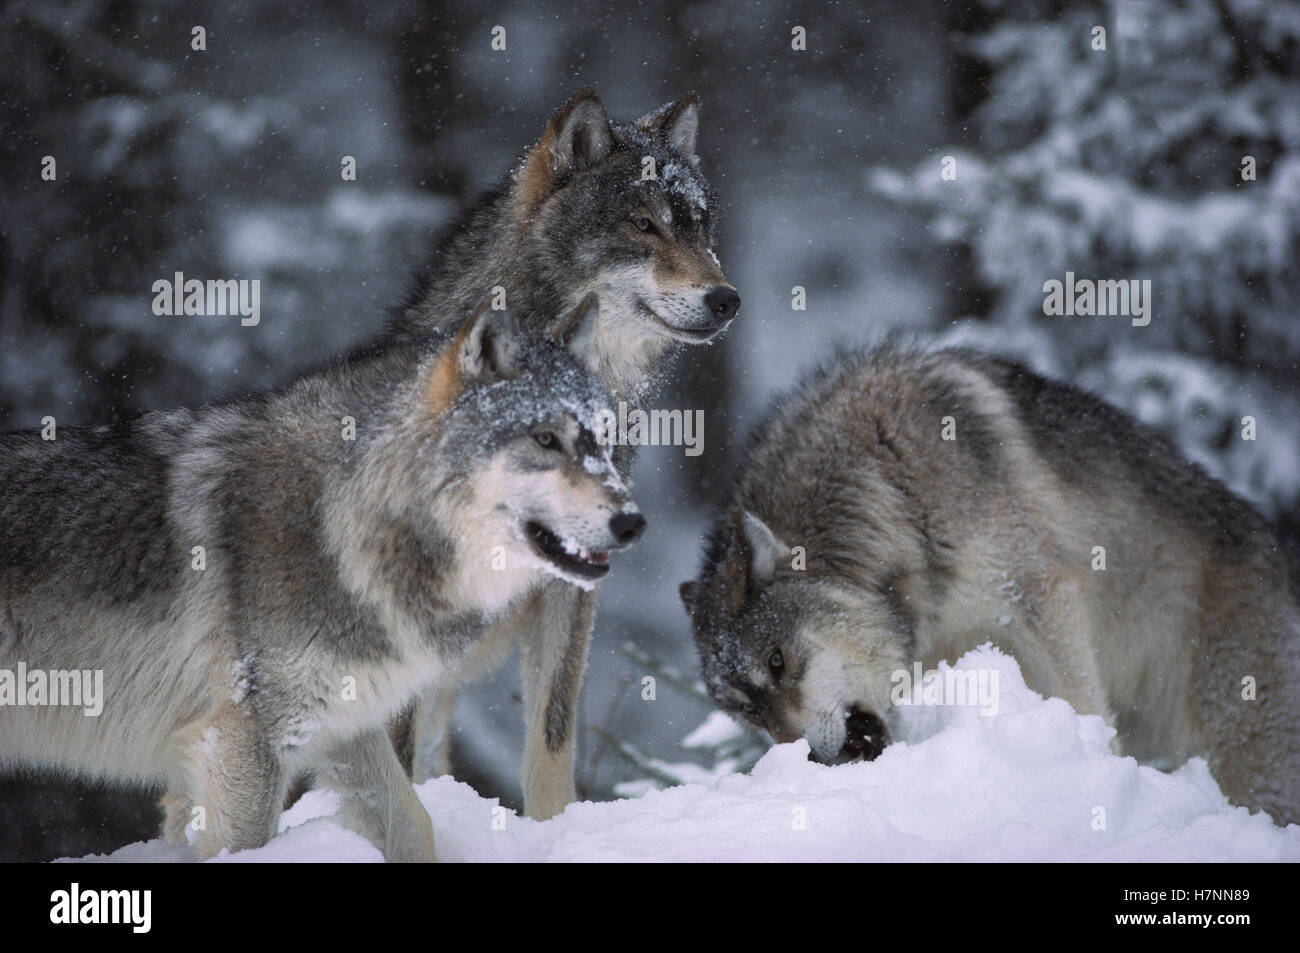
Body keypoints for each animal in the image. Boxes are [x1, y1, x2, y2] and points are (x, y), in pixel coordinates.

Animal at [0, 296, 644, 861]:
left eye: (603, 445)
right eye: (546, 439)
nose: (633, 522)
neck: (344, 518)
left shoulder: (342, 725)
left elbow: (414, 824)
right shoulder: (241, 743)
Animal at [680, 348, 1300, 825]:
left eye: (777, 662)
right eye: (750, 712)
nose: (808, 760)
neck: (892, 493)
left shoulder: (1040, 598)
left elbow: (1084, 709)